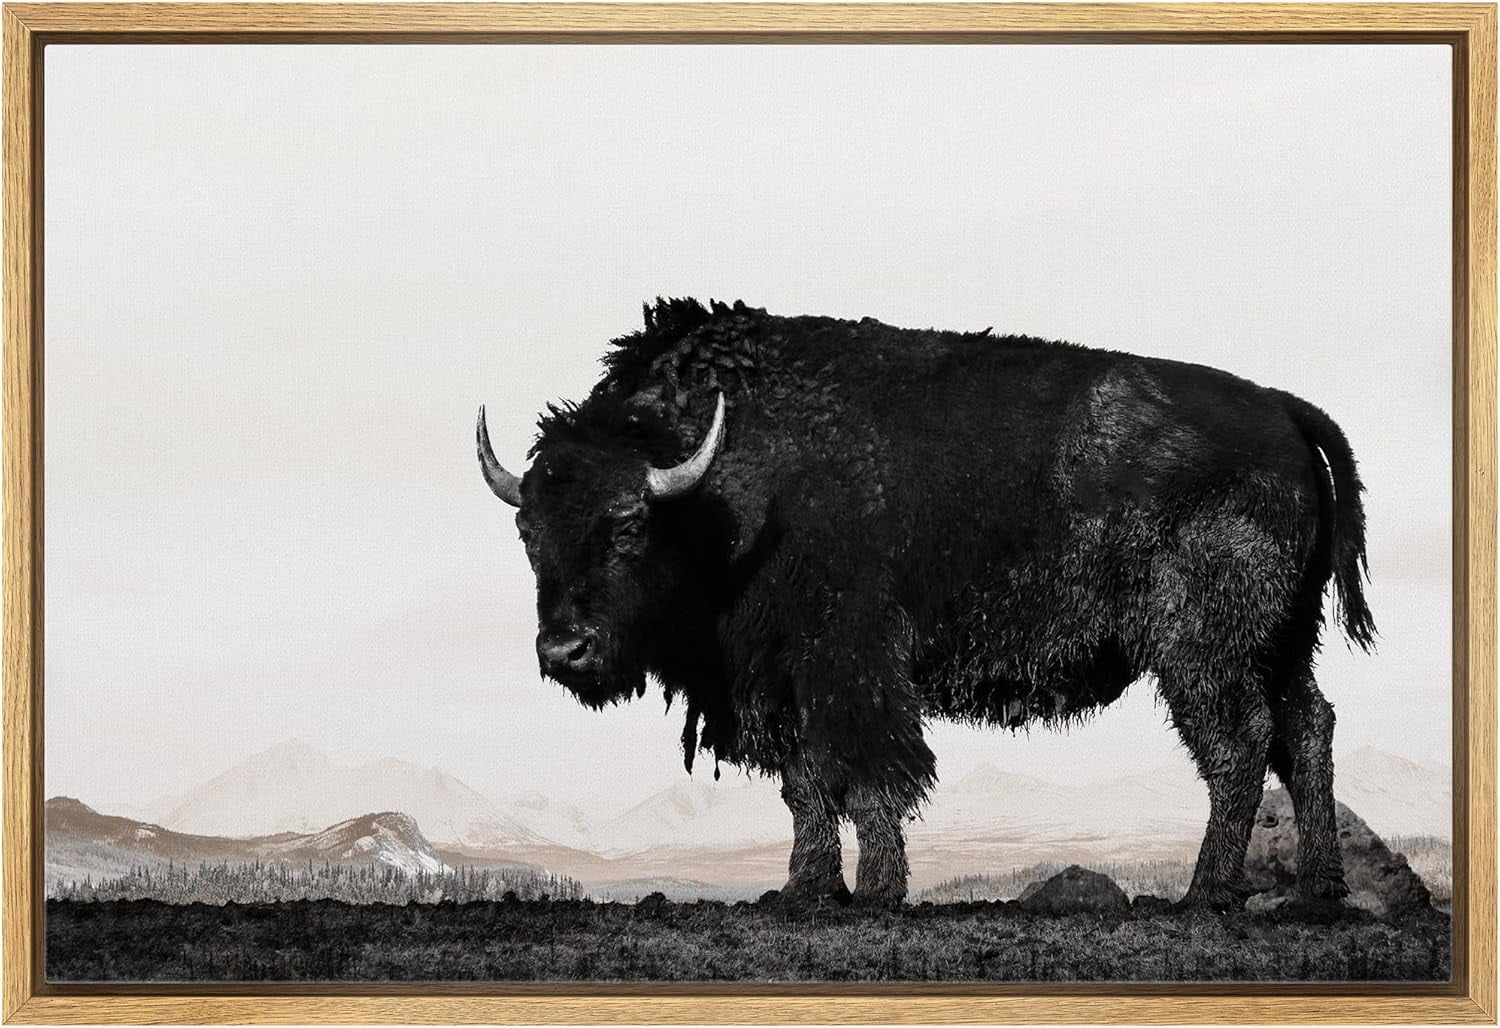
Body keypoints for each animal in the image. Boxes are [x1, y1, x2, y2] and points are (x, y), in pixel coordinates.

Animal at [477, 299, 1374, 909]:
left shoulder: (849, 662)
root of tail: (1282, 407)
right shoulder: (778, 679)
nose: (563, 650)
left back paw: (1204, 895)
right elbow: (805, 785)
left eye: (629, 523)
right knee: (1307, 729)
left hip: (1202, 649)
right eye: (527, 529)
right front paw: (804, 891)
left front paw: (876, 891)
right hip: (1283, 642)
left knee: (1239, 743)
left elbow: (869, 776)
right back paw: (1317, 892)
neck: (719, 475)